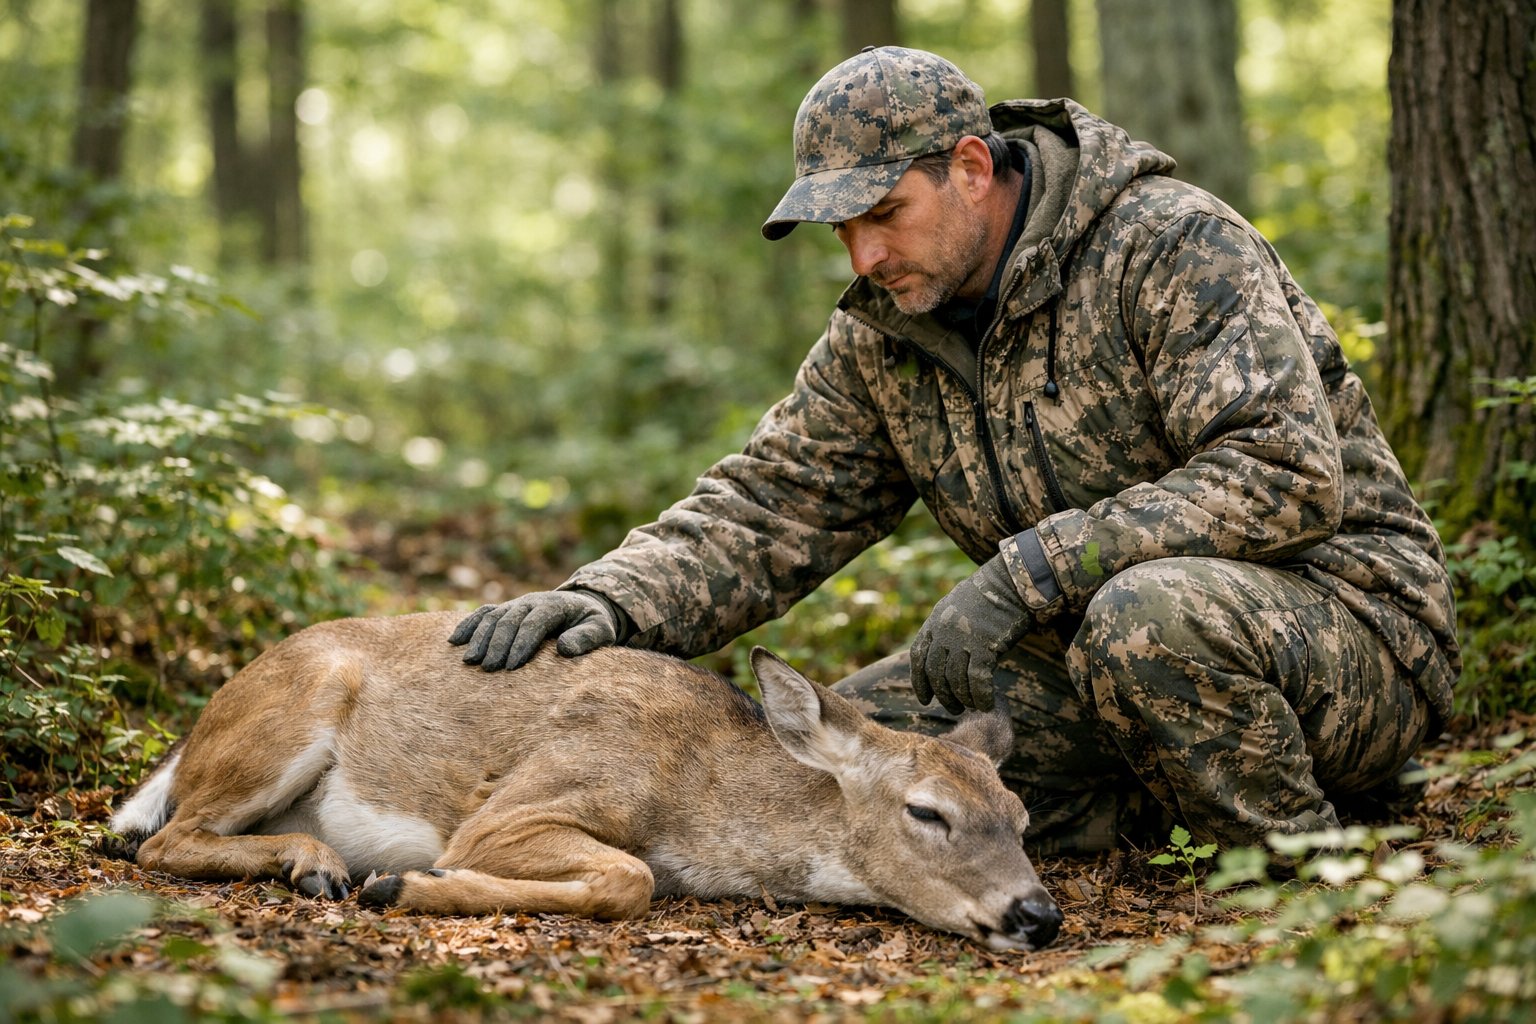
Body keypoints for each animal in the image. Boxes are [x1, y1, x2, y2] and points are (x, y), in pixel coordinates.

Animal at [107, 611, 1062, 951]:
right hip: (292, 713)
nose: (1038, 914)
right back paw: (319, 863)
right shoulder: (514, 809)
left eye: (1020, 818)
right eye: (926, 813)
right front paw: (409, 882)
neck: (698, 795)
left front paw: (411, 881)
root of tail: (203, 721)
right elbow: (629, 876)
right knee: (162, 839)